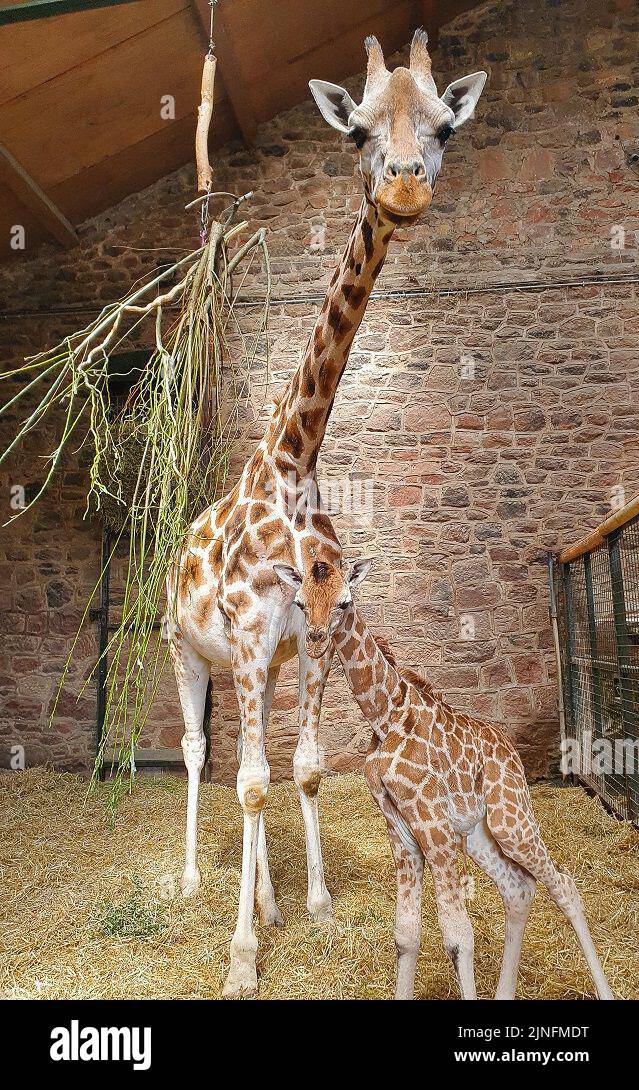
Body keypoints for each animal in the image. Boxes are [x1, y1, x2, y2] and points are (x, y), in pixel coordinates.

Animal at [168, 29, 487, 998]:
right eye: (355, 132)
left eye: (444, 126)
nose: (404, 184)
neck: (294, 461)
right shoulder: (242, 632)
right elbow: (246, 781)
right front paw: (240, 960)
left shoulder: (302, 637)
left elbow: (300, 771)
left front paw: (307, 909)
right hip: (184, 651)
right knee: (196, 751)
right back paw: (190, 882)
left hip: (259, 666)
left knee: (256, 762)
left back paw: (266, 899)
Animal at [274, 558, 614, 1001]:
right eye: (299, 602)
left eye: (344, 602)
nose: (314, 643)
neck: (384, 715)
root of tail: (511, 750)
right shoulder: (401, 829)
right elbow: (406, 935)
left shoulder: (433, 824)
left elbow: (458, 939)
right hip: (478, 834)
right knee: (518, 888)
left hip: (511, 819)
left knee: (565, 886)